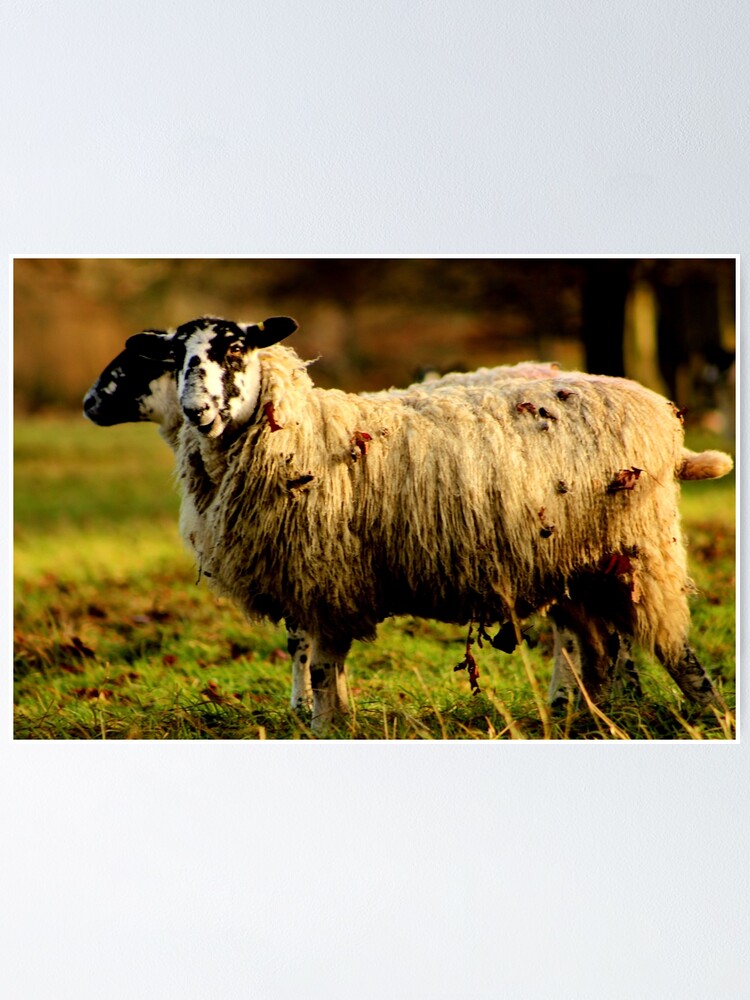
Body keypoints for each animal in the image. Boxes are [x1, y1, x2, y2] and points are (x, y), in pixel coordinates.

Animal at [130, 316, 730, 728]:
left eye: (235, 350)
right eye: (175, 357)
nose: (196, 412)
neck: (303, 431)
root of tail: (660, 414)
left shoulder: (327, 581)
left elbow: (321, 670)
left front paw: (325, 726)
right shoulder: (316, 588)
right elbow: (327, 670)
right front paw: (338, 722)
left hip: (640, 551)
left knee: (674, 649)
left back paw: (710, 715)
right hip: (578, 569)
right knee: (600, 650)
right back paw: (587, 722)